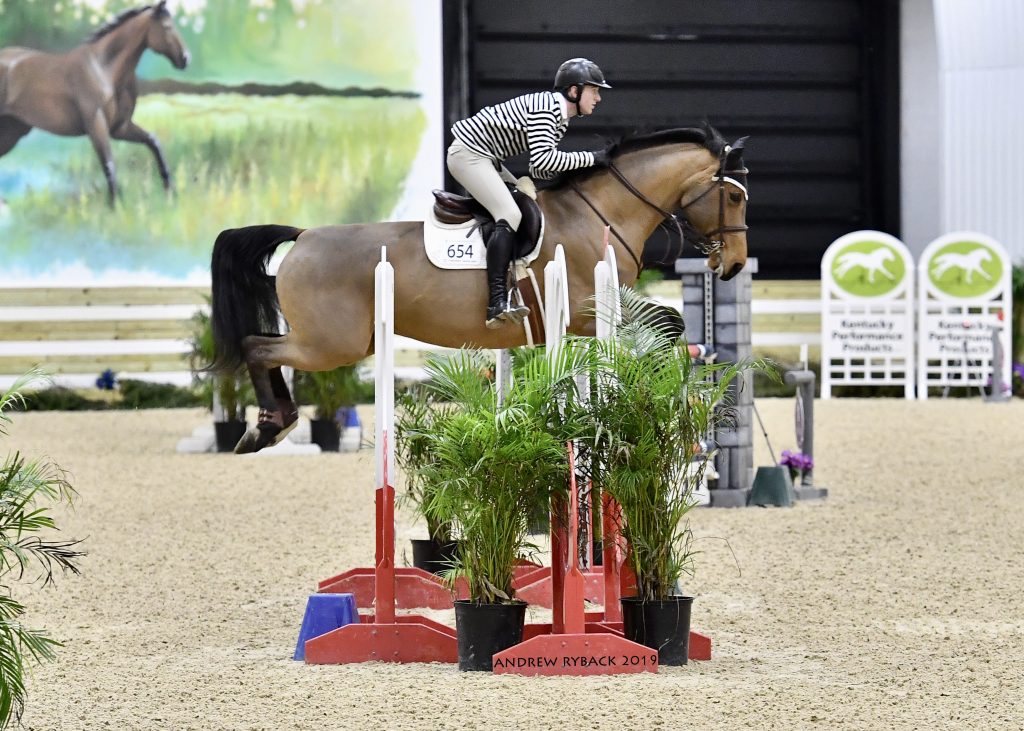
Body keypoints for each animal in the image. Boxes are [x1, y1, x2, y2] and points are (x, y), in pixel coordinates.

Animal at [0, 1, 190, 206]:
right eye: (167, 27)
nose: (185, 58)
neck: (104, 69)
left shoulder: (120, 128)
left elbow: (154, 142)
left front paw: (170, 192)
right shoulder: (96, 126)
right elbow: (109, 164)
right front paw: (115, 207)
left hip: (13, 131)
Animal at [209, 123, 750, 454]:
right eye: (733, 196)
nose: (735, 264)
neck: (601, 212)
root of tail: (303, 235)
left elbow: (668, 324)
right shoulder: (585, 309)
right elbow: (667, 324)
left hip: (340, 341)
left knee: (263, 347)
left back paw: (268, 426)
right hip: (330, 344)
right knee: (257, 347)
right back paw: (268, 426)